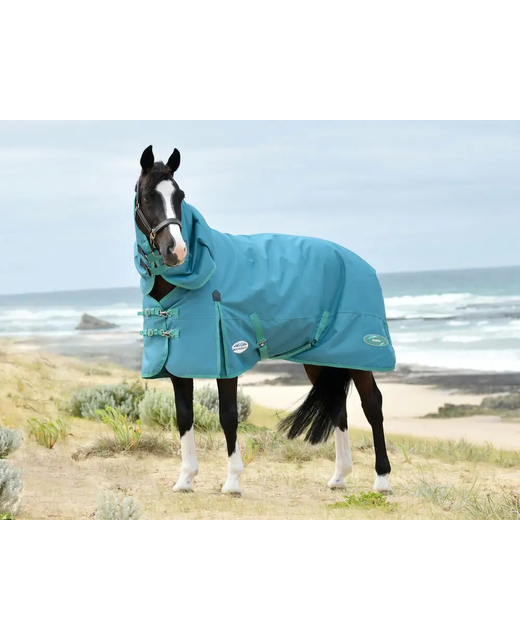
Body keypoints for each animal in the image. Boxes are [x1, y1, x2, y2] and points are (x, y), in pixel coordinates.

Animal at [134, 145, 395, 496]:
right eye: (149, 195)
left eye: (180, 196)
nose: (177, 250)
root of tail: (362, 264)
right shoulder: (180, 363)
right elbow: (184, 417)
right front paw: (185, 479)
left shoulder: (227, 355)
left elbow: (228, 416)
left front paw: (232, 481)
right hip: (322, 357)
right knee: (337, 405)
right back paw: (339, 476)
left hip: (359, 352)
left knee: (372, 406)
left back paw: (382, 480)